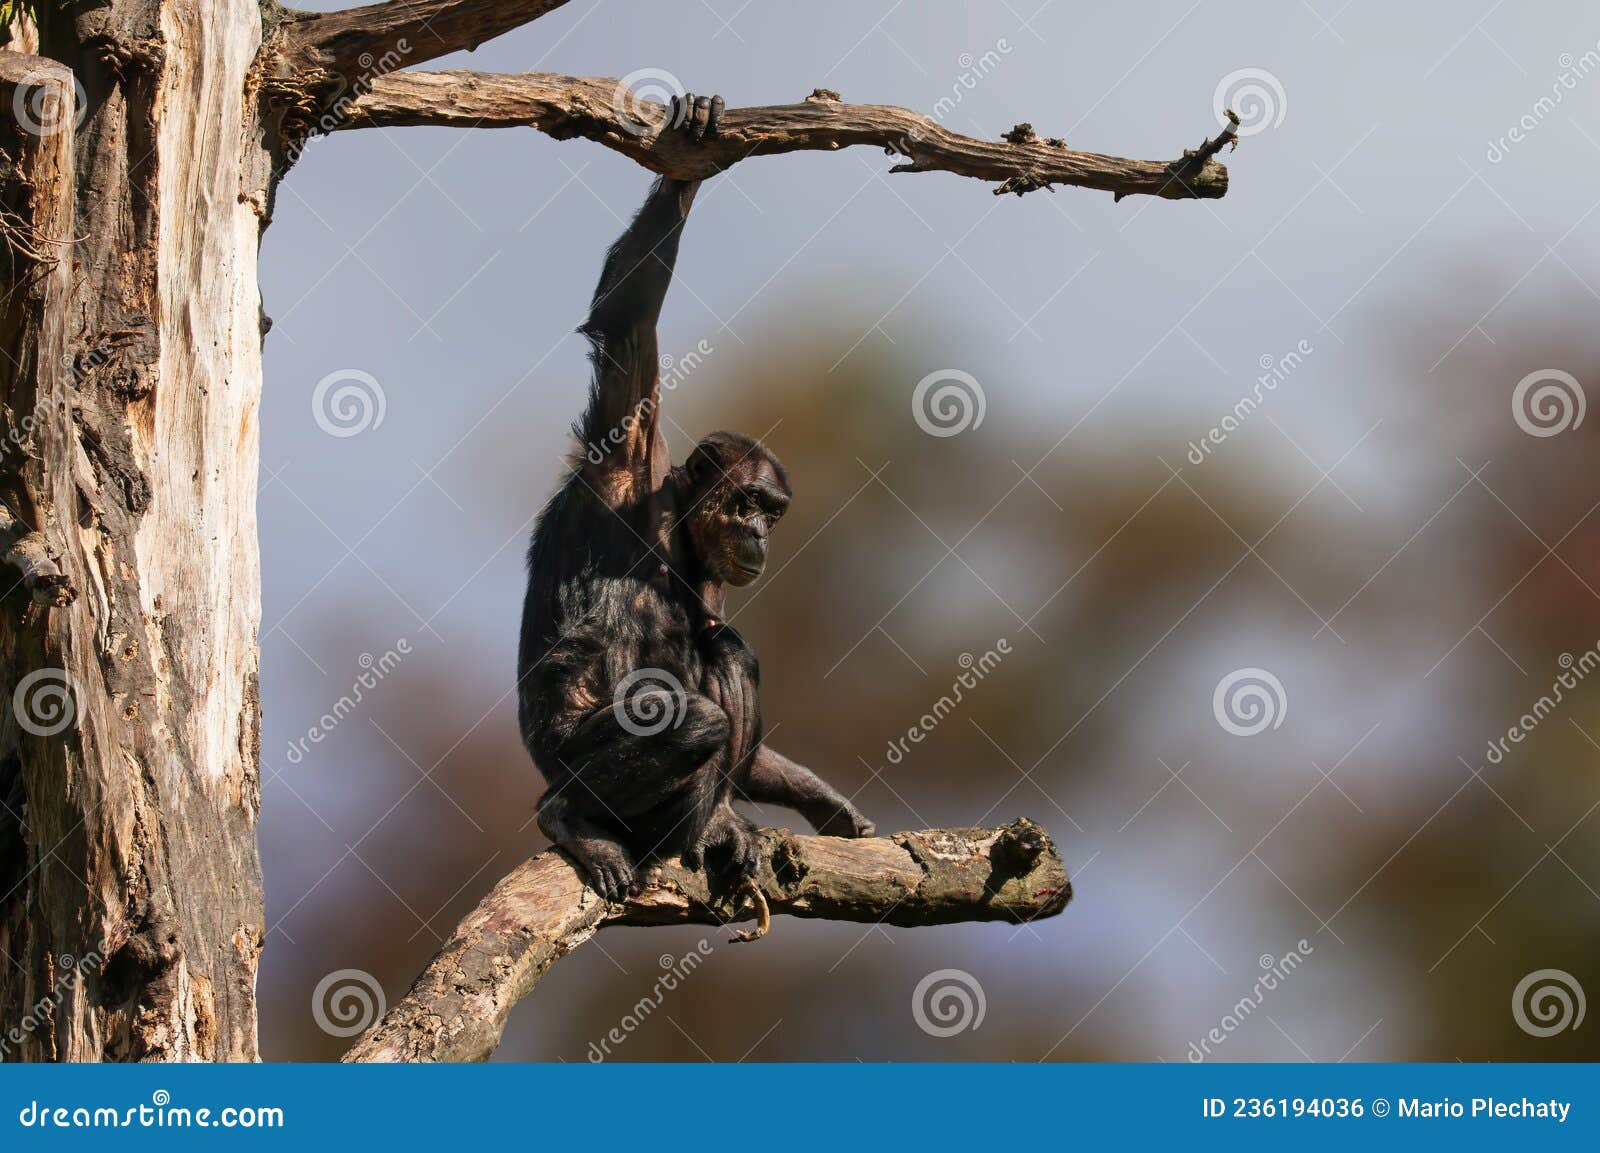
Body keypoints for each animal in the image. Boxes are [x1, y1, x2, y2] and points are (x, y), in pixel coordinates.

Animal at [517, 94, 874, 902]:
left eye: (773, 512)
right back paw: (572, 817)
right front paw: (692, 156)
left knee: (729, 650)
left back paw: (716, 826)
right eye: (746, 503)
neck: (675, 523)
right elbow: (628, 321)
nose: (759, 534)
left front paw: (821, 797)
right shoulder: (626, 448)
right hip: (570, 756)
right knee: (689, 721)